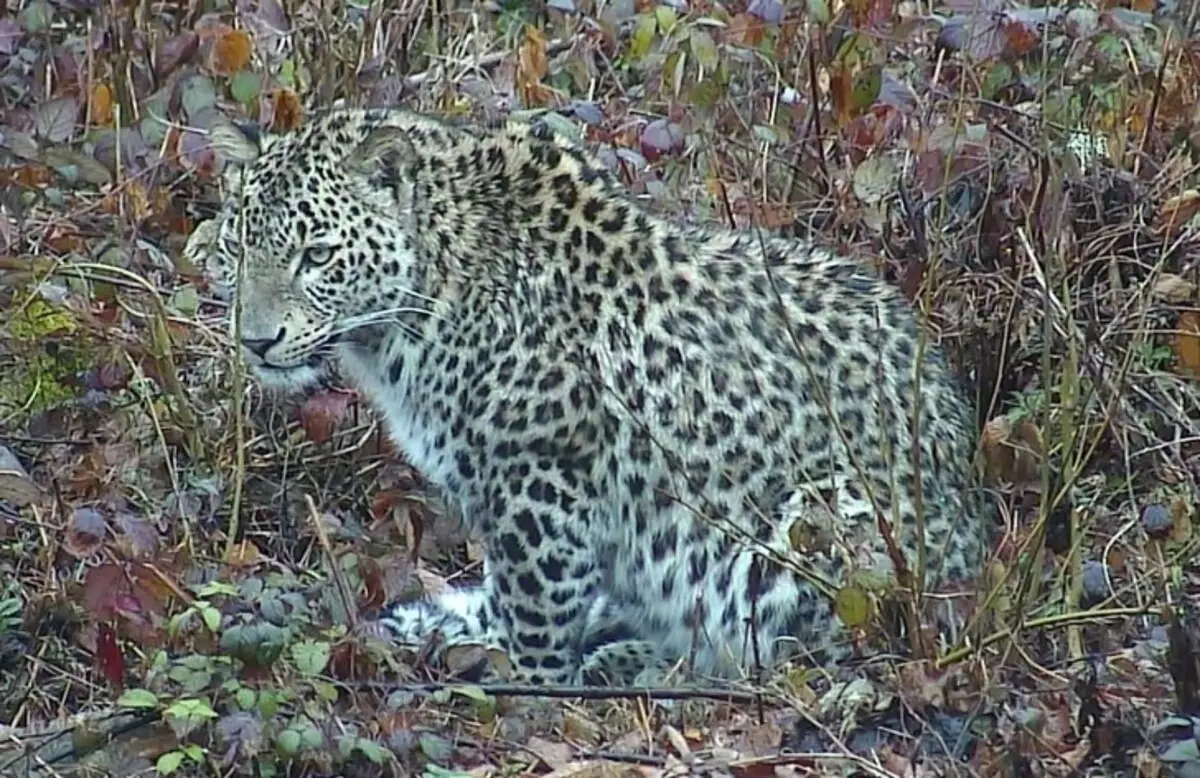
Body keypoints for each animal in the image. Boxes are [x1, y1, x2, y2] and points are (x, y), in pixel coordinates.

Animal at [194, 105, 984, 686]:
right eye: (239, 246)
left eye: (317, 255)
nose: (256, 340)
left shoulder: (541, 476)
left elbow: (536, 605)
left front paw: (531, 683)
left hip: (817, 531)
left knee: (779, 657)